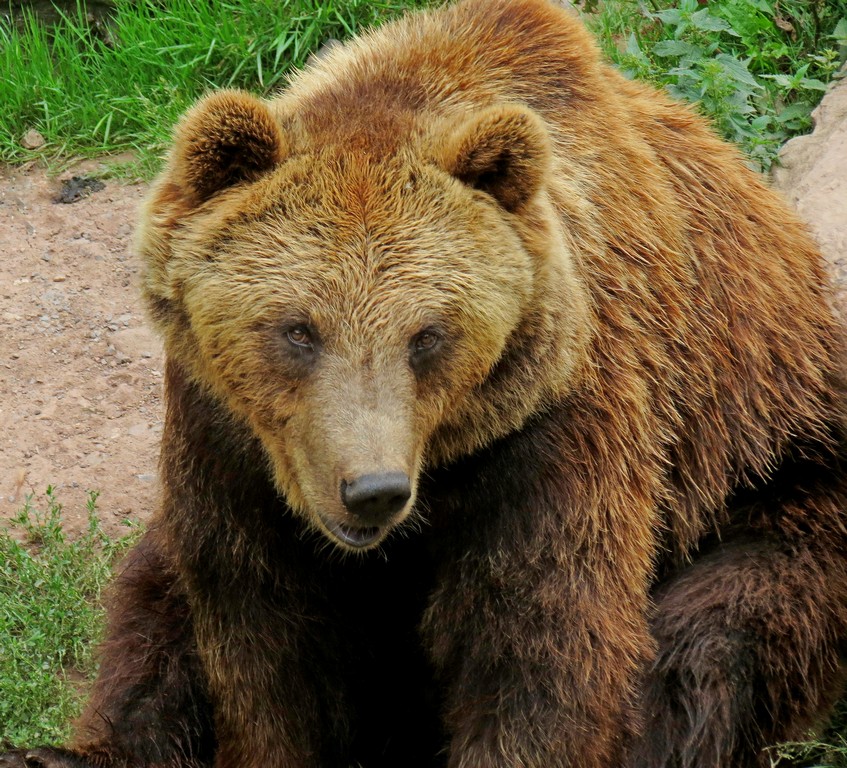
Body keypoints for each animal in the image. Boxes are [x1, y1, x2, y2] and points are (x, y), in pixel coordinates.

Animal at [2, 0, 847, 766]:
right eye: (299, 329)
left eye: (427, 335)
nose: (371, 490)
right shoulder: (228, 437)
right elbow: (261, 639)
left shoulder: (553, 425)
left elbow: (535, 641)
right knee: (150, 611)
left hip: (779, 477)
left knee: (708, 639)